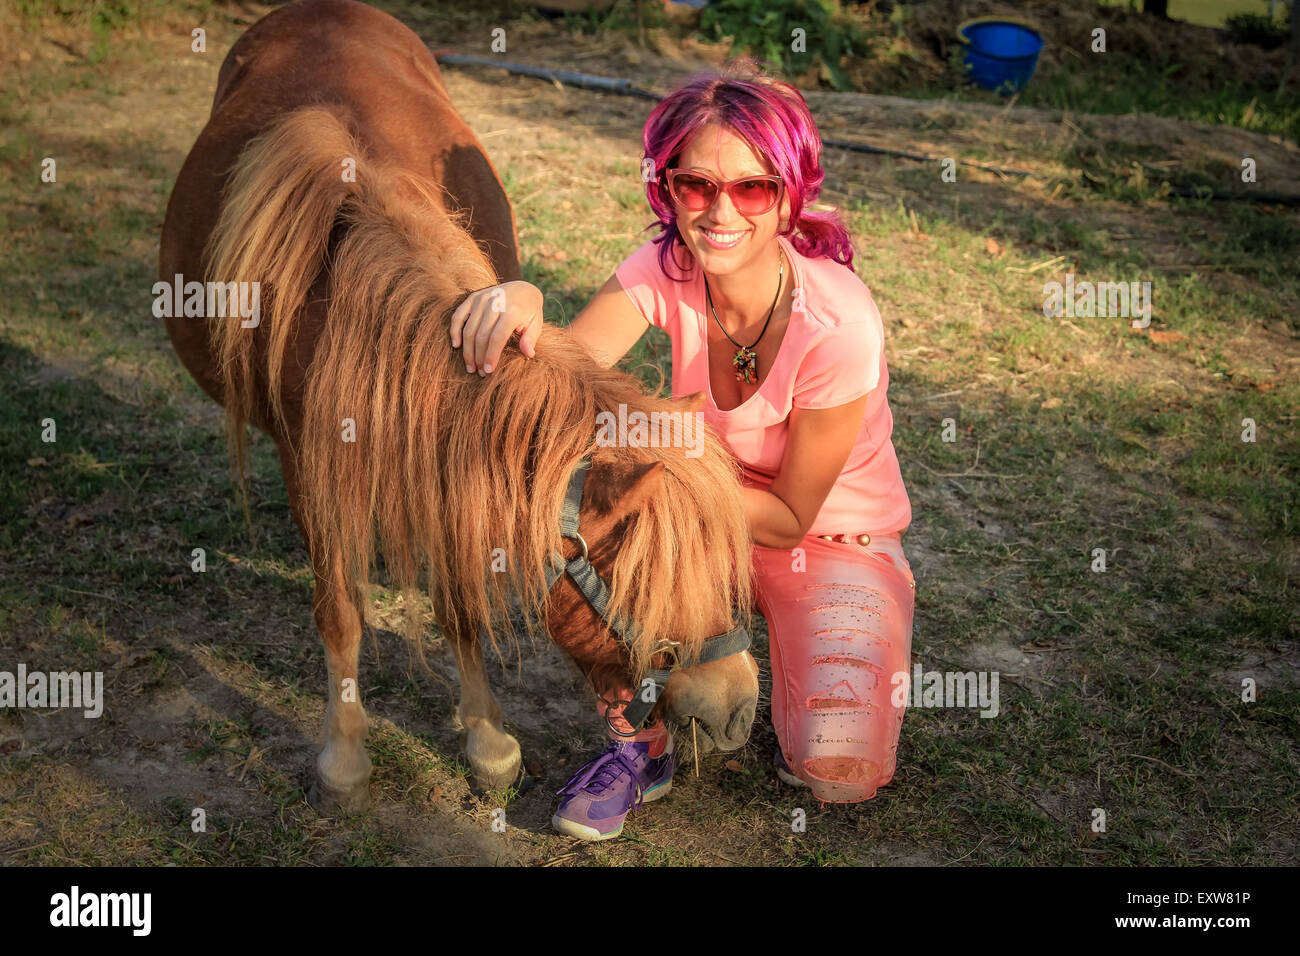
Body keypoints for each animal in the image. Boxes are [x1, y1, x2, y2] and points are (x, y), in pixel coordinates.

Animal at [158, 0, 759, 813]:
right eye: (658, 581)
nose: (740, 709)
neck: (353, 301)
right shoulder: (308, 464)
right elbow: (339, 610)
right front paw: (344, 754)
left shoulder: (455, 468)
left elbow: (461, 602)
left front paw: (488, 741)